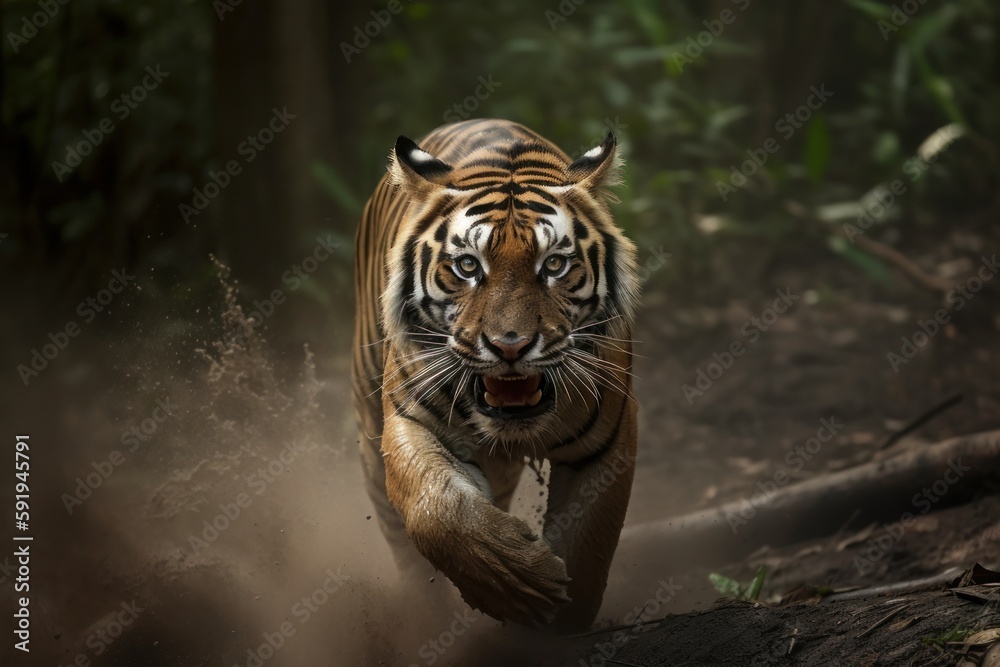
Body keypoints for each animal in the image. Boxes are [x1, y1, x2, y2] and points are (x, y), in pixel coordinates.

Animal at [352, 118, 641, 632]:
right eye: (468, 266)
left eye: (554, 264)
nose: (510, 346)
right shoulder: (409, 420)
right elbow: (437, 508)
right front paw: (513, 581)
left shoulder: (608, 444)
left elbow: (588, 547)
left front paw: (556, 627)